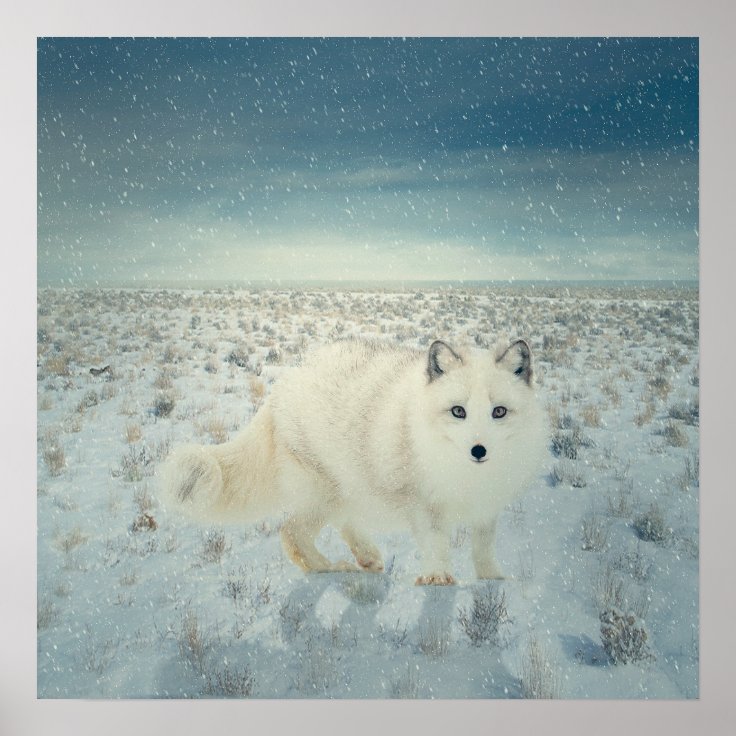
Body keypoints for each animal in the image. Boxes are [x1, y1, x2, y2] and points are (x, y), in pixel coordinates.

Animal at [161, 337, 548, 585]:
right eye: (458, 411)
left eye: (499, 411)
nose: (478, 450)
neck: (465, 475)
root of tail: (284, 383)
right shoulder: (423, 503)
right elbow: (436, 543)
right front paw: (438, 577)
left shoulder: (487, 506)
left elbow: (483, 547)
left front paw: (491, 577)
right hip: (323, 491)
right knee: (291, 533)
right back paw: (331, 568)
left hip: (346, 486)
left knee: (341, 523)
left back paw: (367, 556)